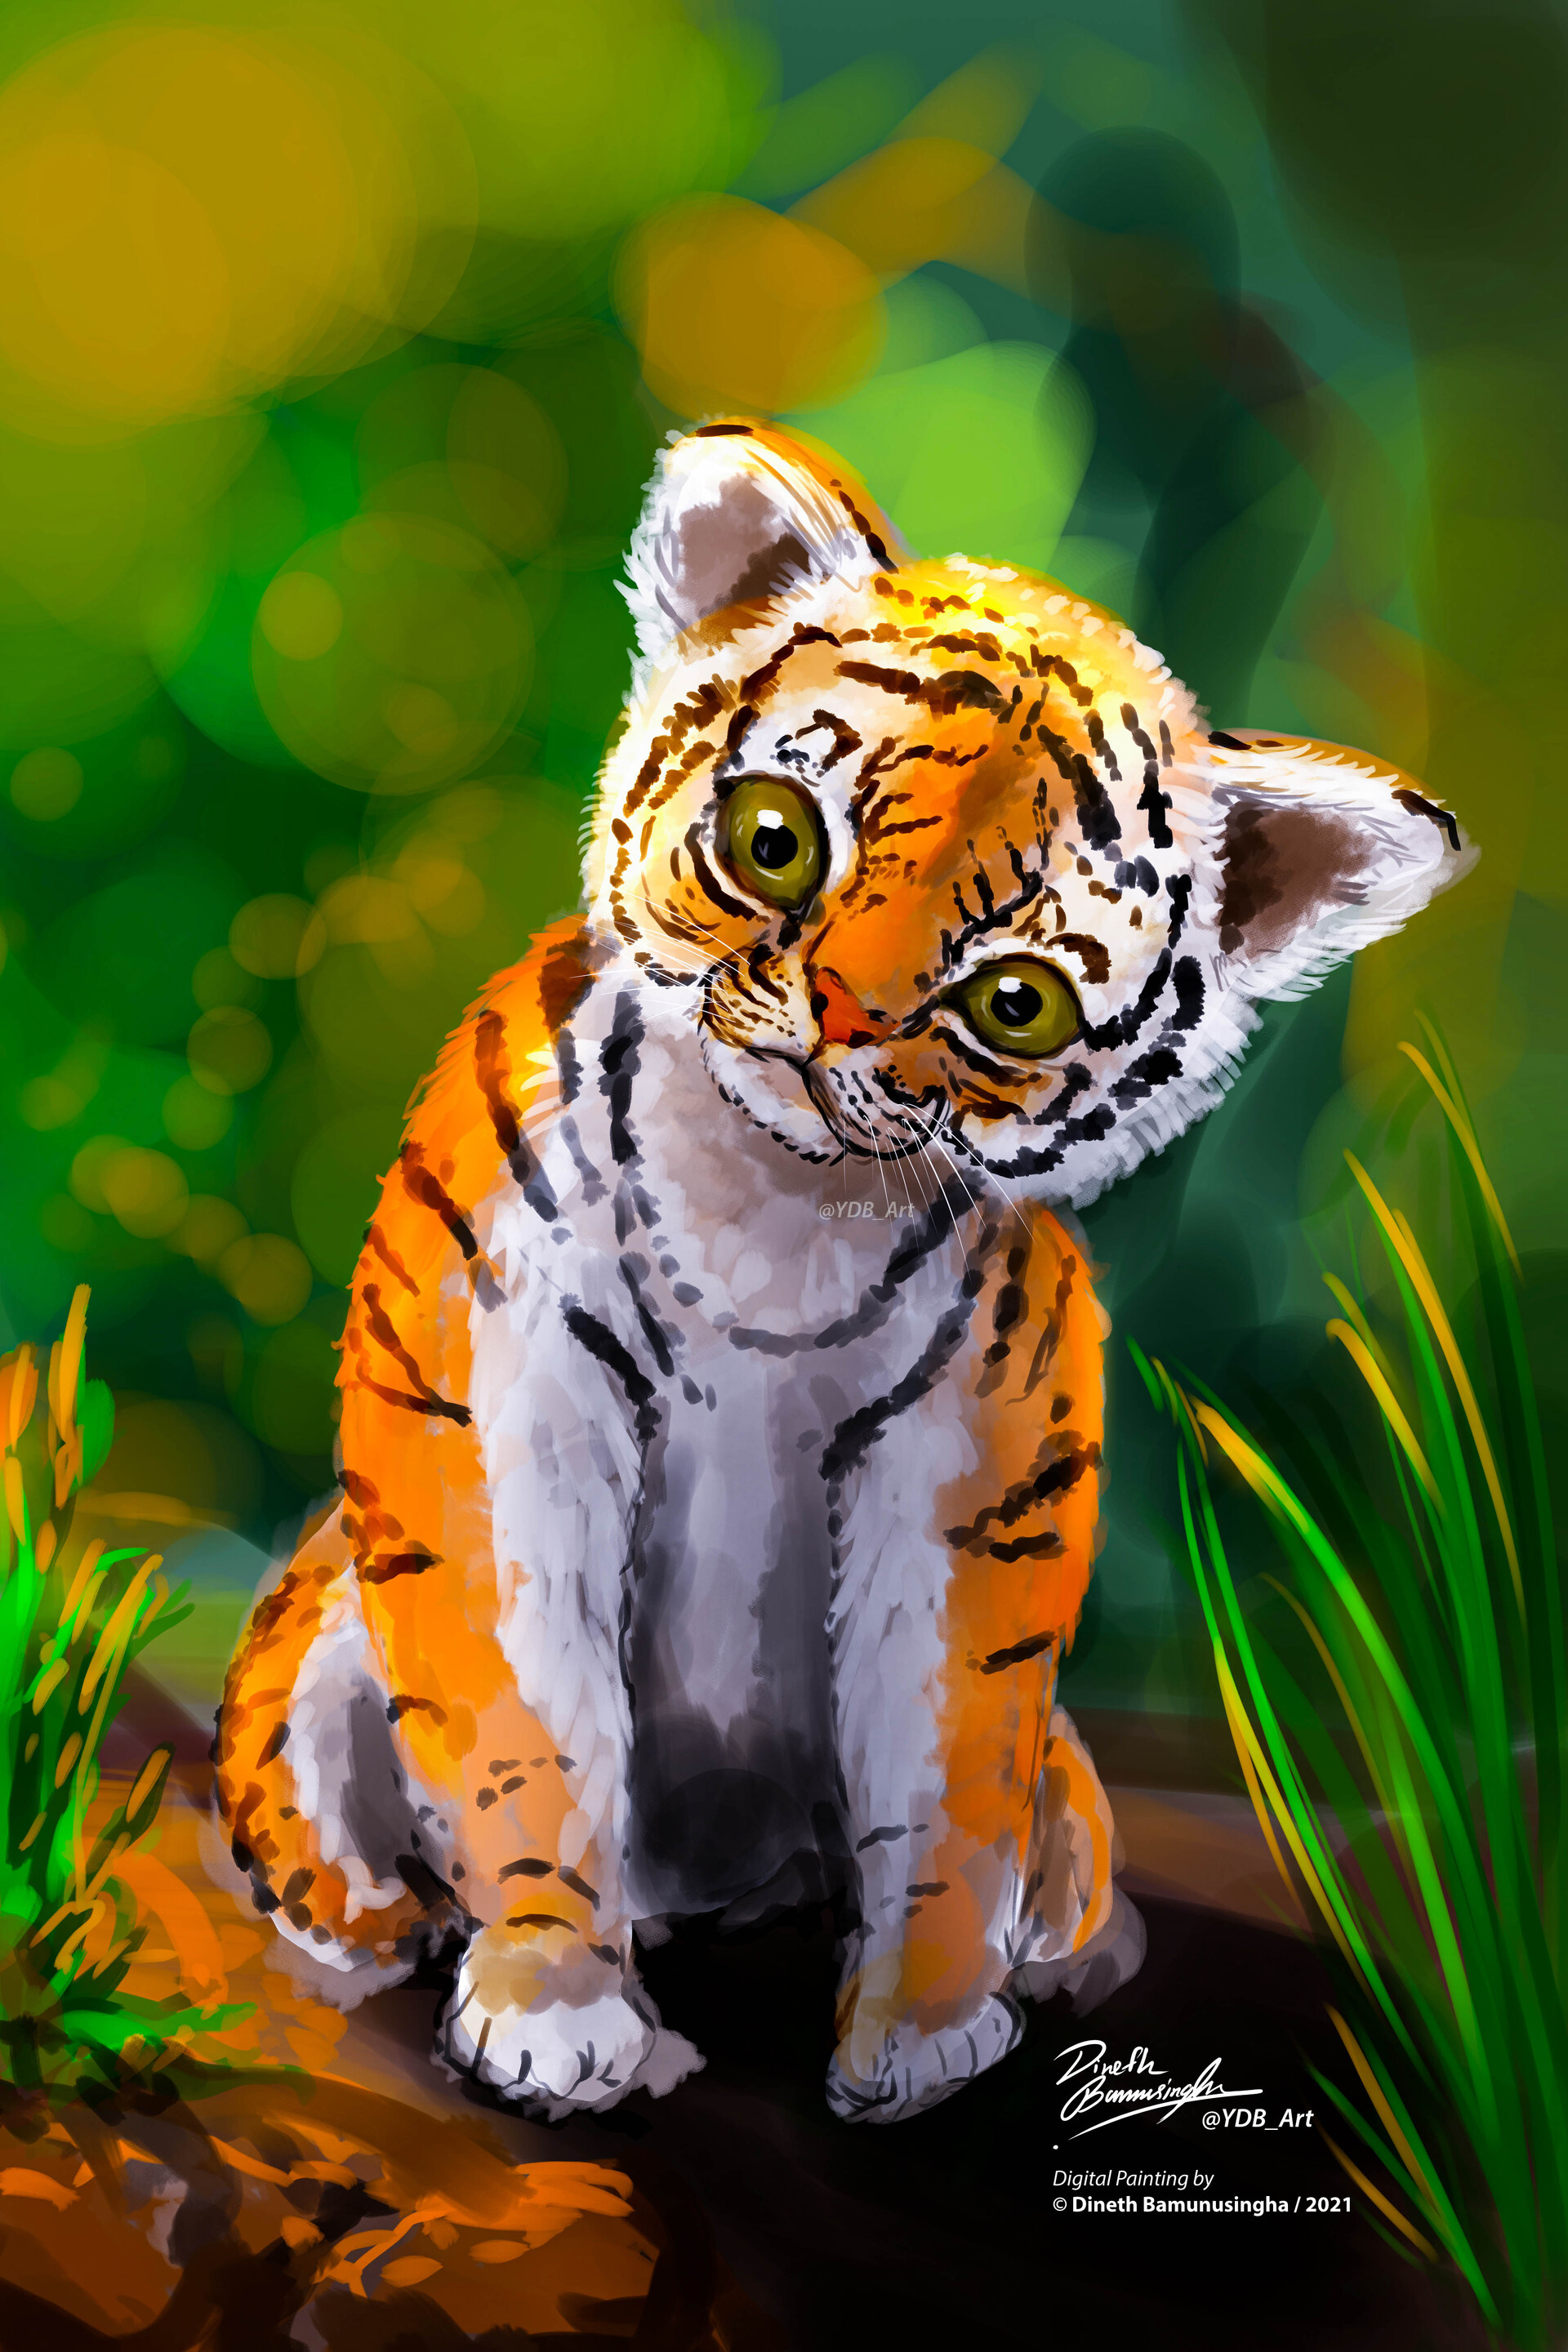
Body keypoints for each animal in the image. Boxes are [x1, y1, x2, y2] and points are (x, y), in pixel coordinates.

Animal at [215, 420, 1472, 2123]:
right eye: (775, 842)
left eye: (1015, 1001)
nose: (836, 1024)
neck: (773, 1195)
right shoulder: (510, 1403)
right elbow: (526, 1729)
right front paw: (557, 2007)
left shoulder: (964, 1476)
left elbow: (946, 1766)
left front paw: (923, 2031)